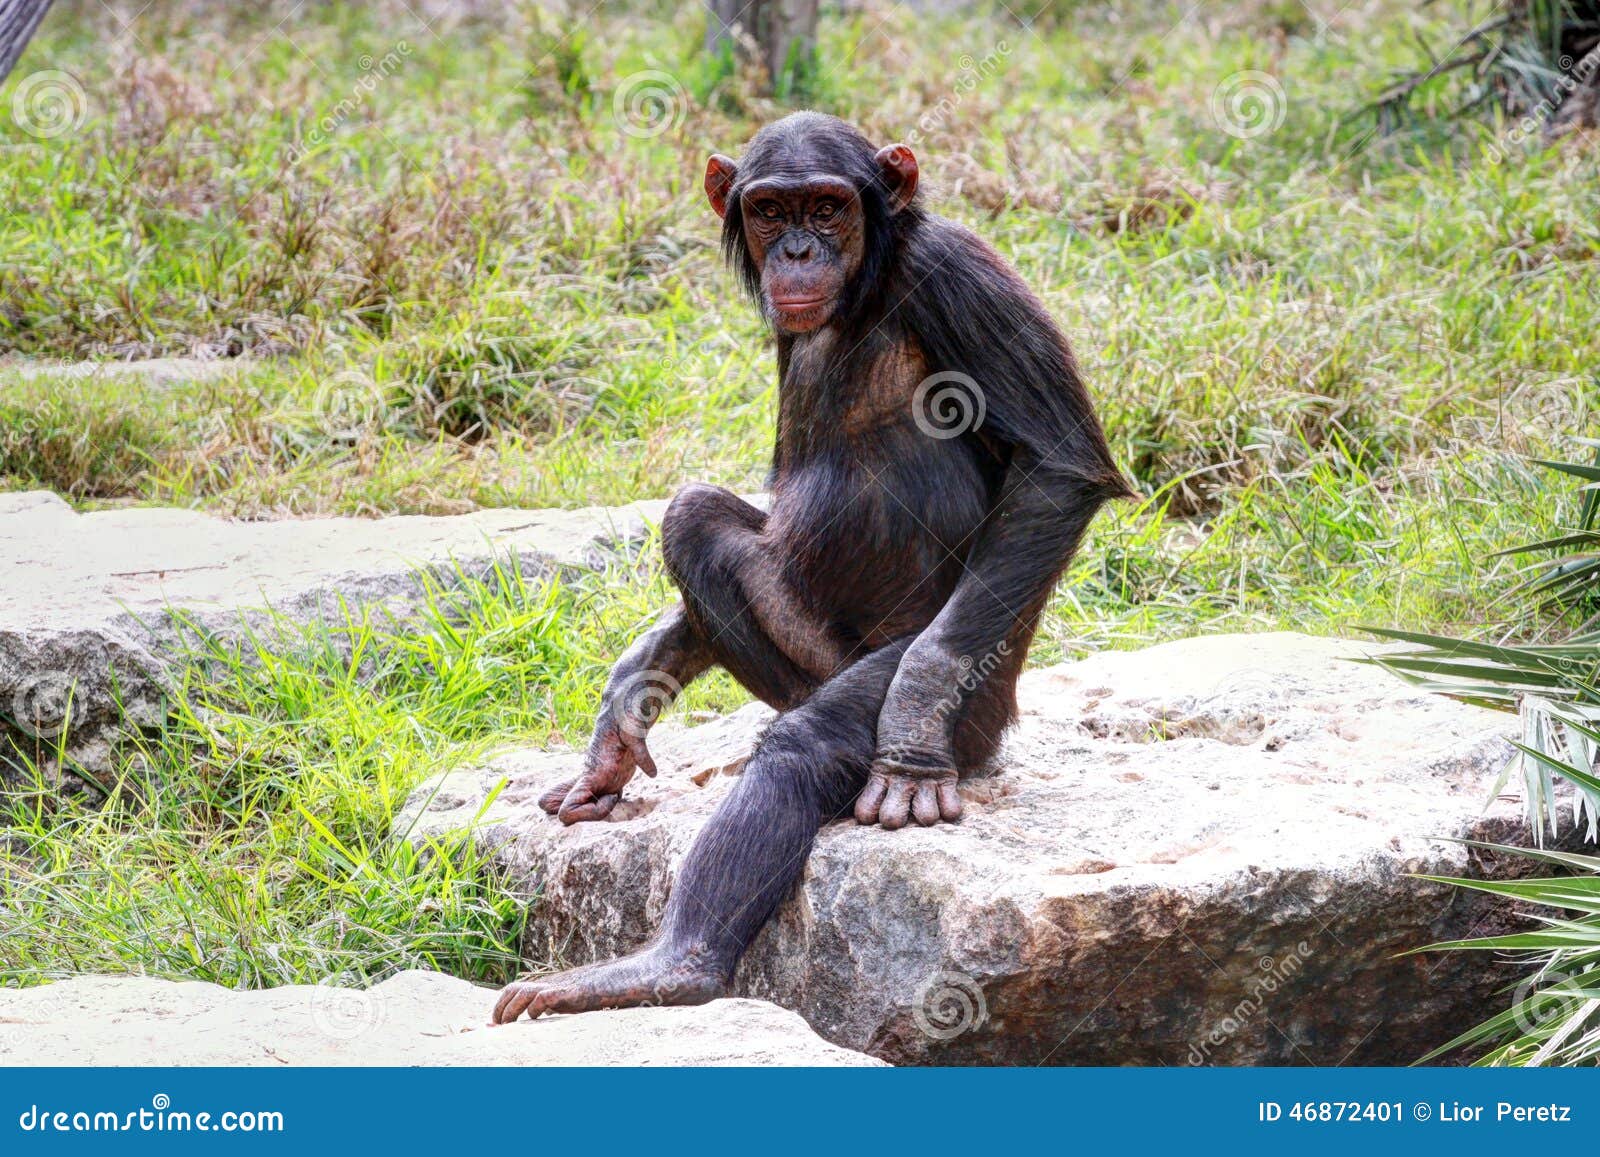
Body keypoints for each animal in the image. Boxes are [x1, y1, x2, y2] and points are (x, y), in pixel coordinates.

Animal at [493, 112, 1129, 1022]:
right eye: (771, 210)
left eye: (828, 207)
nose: (796, 249)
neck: (868, 284)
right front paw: (627, 700)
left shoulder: (959, 273)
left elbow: (1058, 466)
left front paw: (911, 724)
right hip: (814, 652)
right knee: (694, 519)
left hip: (976, 710)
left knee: (808, 742)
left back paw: (665, 966)